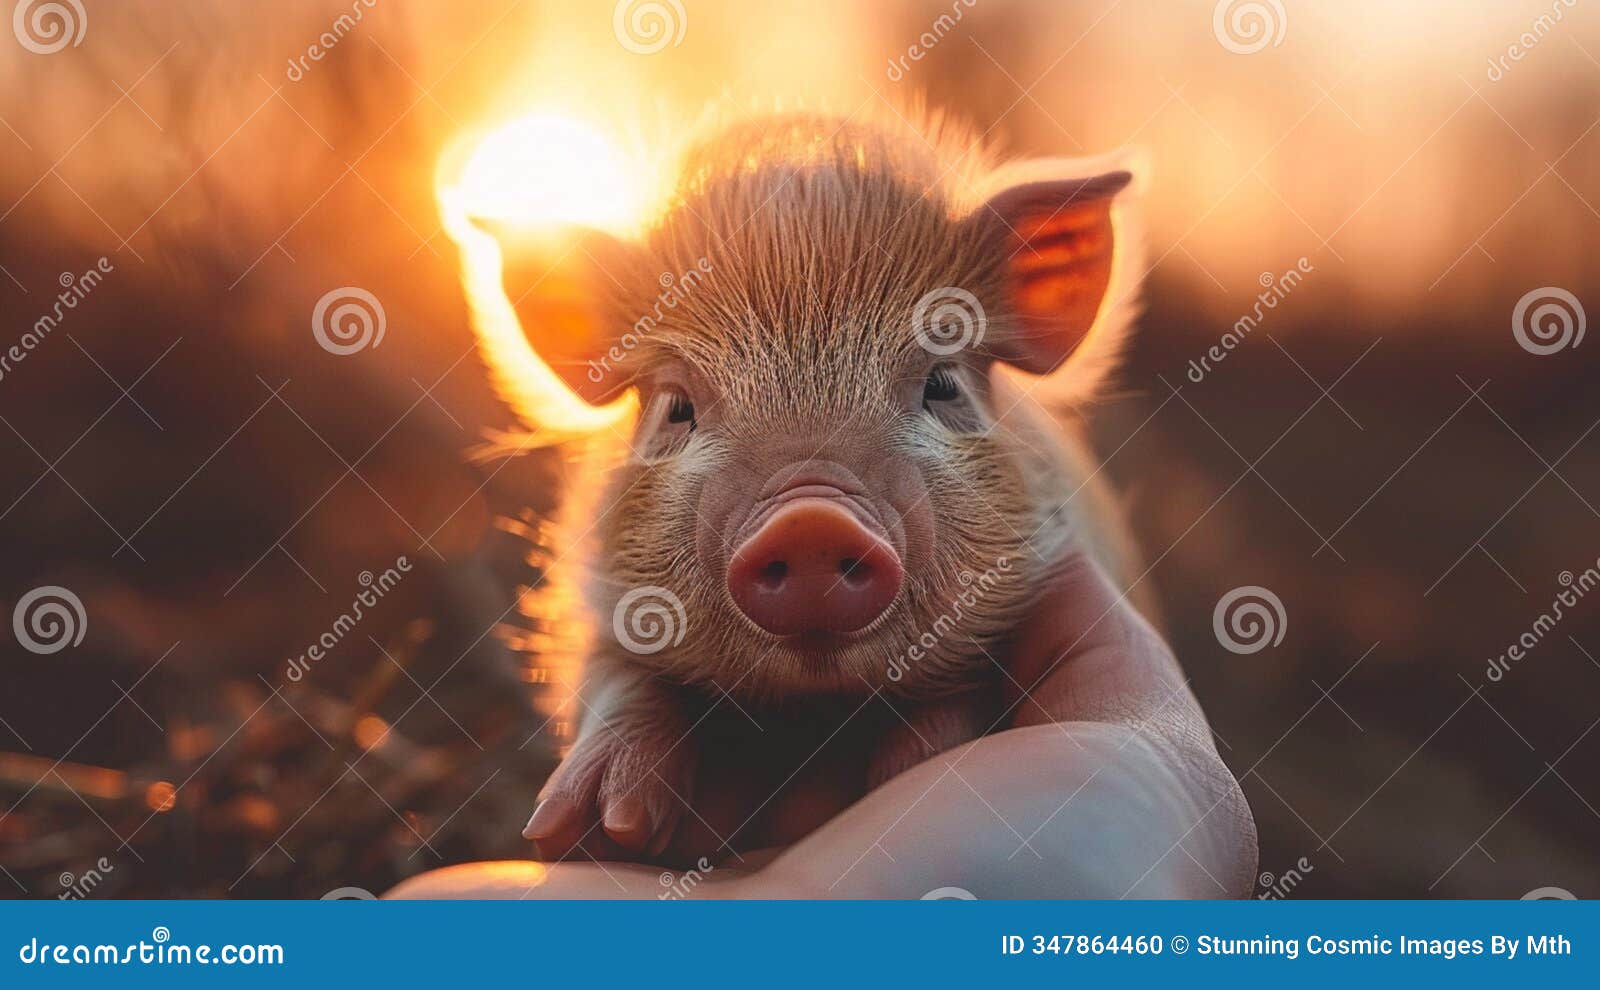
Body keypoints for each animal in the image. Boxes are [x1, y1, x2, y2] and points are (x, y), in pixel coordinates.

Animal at [477, 110, 1200, 865]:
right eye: (676, 406)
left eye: (943, 384)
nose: (811, 521)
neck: (816, 712)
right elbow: (621, 681)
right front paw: (586, 831)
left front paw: (911, 772)